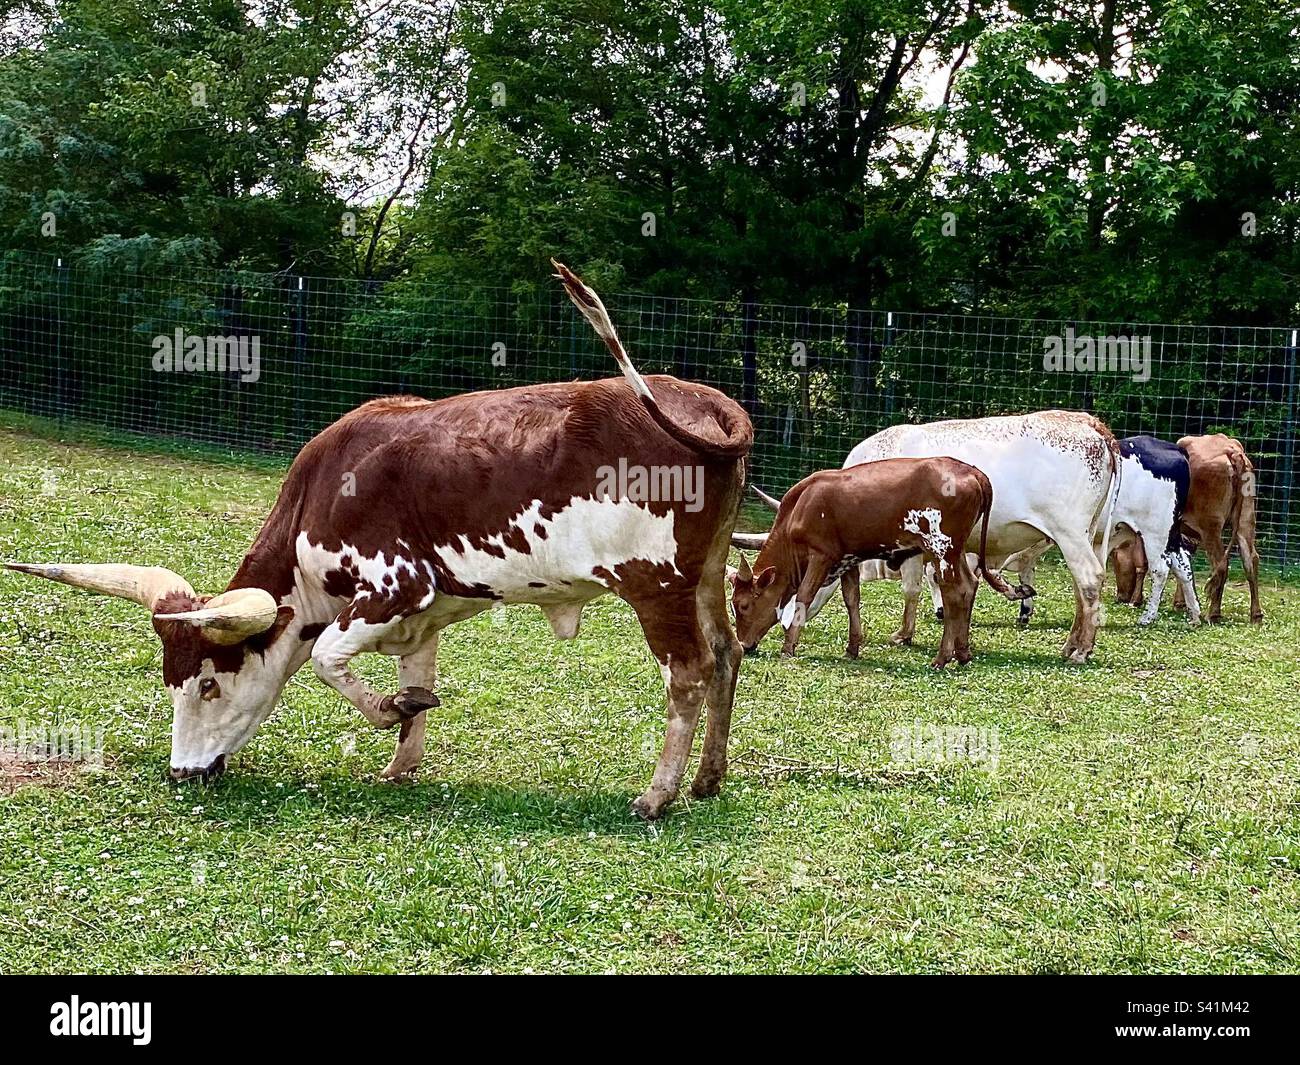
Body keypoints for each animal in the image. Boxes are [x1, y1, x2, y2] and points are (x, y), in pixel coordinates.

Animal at [5, 261, 753, 821]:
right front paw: (402, 757)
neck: (321, 495)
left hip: (656, 584)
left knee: (688, 672)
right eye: (171, 683)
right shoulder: (422, 618)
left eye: (210, 684)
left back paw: (658, 793)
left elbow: (328, 658)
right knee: (726, 653)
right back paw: (708, 778)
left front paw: (390, 714)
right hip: (706, 574)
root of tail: (710, 406)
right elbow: (416, 677)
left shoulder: (395, 586)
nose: (182, 773)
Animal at [728, 458, 1028, 666]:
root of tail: (973, 472)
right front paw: (853, 647)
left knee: (954, 592)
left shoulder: (821, 556)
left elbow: (803, 596)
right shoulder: (847, 558)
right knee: (969, 585)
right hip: (956, 549)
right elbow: (852, 599)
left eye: (742, 605)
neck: (800, 507)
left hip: (941, 548)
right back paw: (963, 652)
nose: (744, 645)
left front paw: (788, 647)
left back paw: (942, 658)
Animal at [1113, 433, 1263, 623]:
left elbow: (1143, 564)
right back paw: (1256, 615)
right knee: (1251, 560)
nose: (1120, 597)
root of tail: (1230, 449)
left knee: (1221, 564)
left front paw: (1136, 600)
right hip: (1245, 520)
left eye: (1115, 558)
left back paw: (1213, 614)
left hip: (1210, 528)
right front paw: (1181, 603)